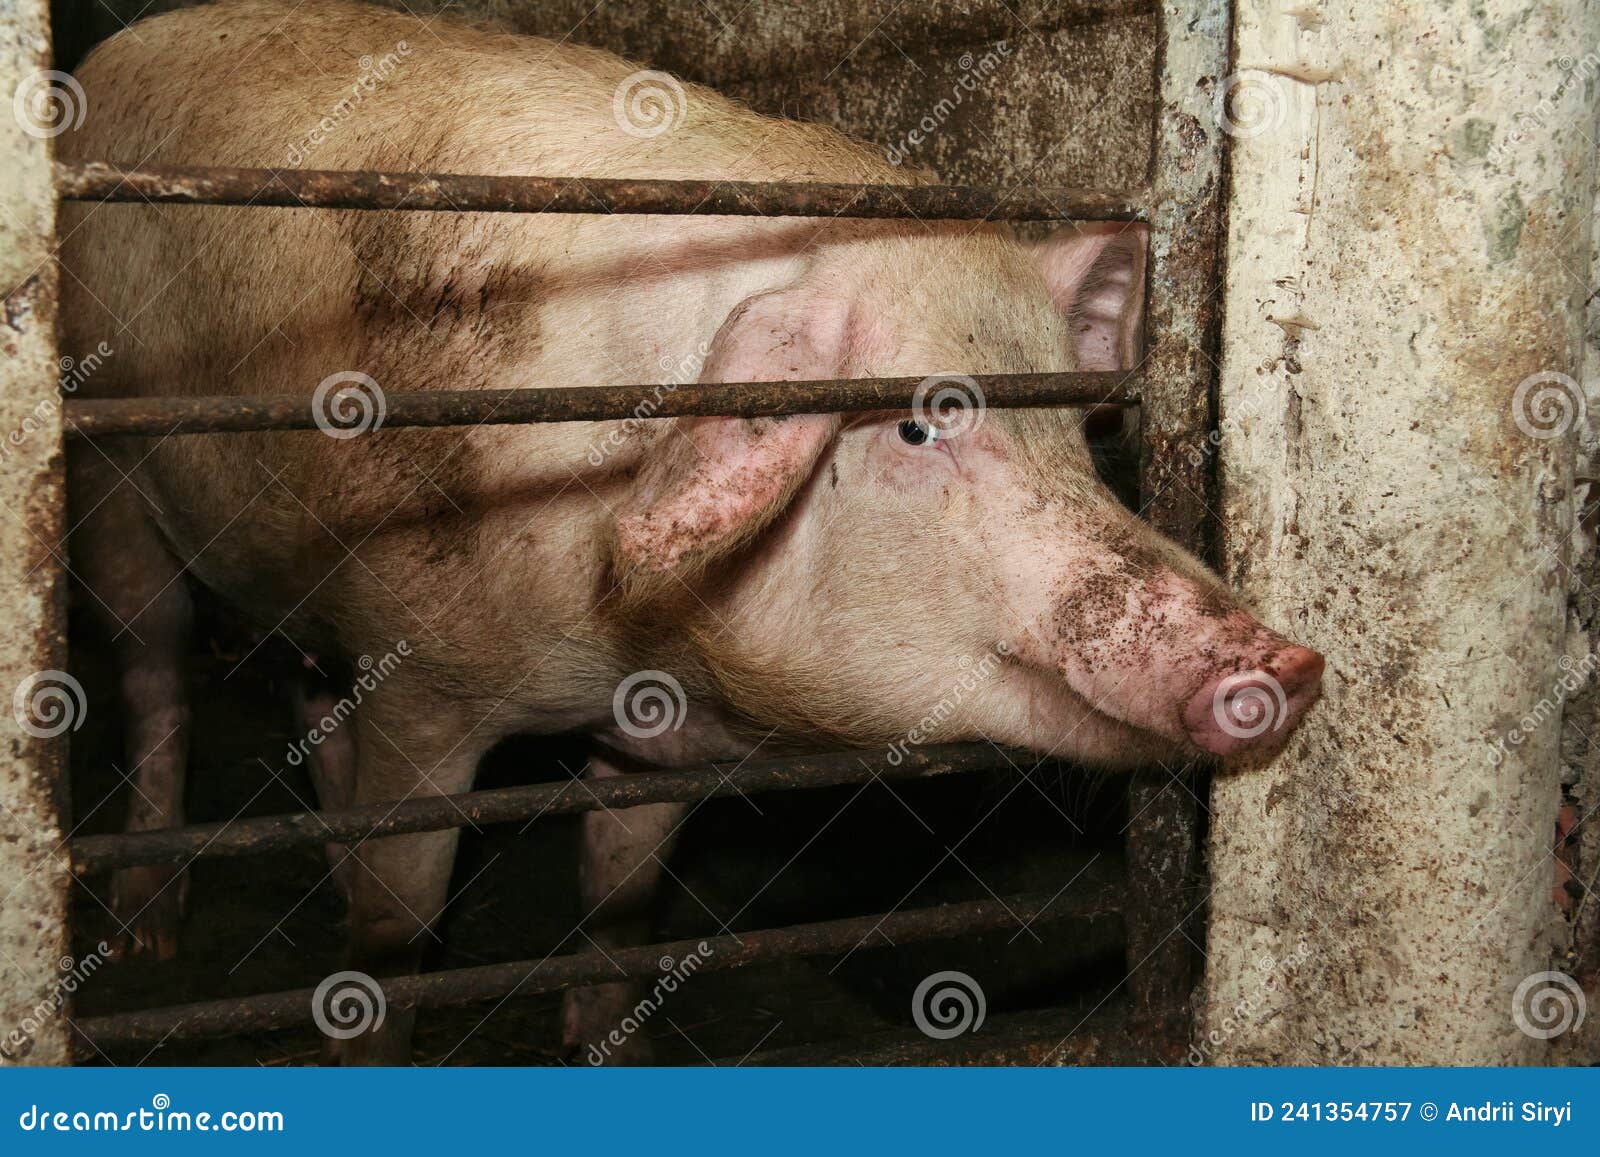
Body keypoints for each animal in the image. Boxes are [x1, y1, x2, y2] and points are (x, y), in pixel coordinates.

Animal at [59, 0, 1323, 1064]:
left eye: (1065, 421)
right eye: (915, 426)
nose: (1287, 661)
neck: (624, 631)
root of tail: (121, 46)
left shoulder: (662, 731)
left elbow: (623, 887)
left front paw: (605, 1043)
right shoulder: (428, 678)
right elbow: (402, 915)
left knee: (306, 684)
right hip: (110, 474)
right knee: (154, 669)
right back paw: (150, 933)